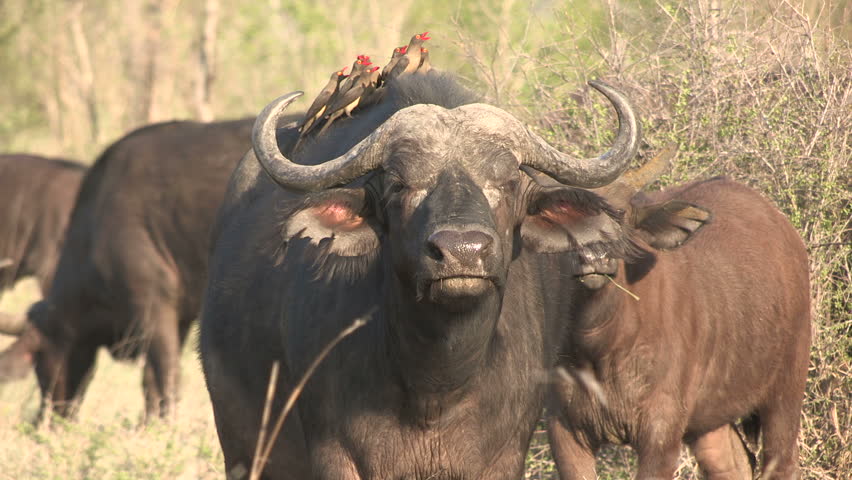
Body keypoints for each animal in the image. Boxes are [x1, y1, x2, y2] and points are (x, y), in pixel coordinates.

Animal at [0, 118, 266, 420]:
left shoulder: (153, 305)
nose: (46, 418)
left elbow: (166, 375)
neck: (96, 226)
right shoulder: (178, 319)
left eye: (39, 360)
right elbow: (151, 381)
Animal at [198, 72, 680, 479]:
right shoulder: (334, 455)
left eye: (507, 182)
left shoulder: (503, 456)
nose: (462, 252)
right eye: (398, 184)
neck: (436, 387)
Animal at [547, 176, 811, 479]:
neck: (600, 350)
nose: (594, 257)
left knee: (782, 460)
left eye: (620, 215)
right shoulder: (564, 429)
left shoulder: (661, 430)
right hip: (710, 420)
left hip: (786, 390)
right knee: (733, 463)